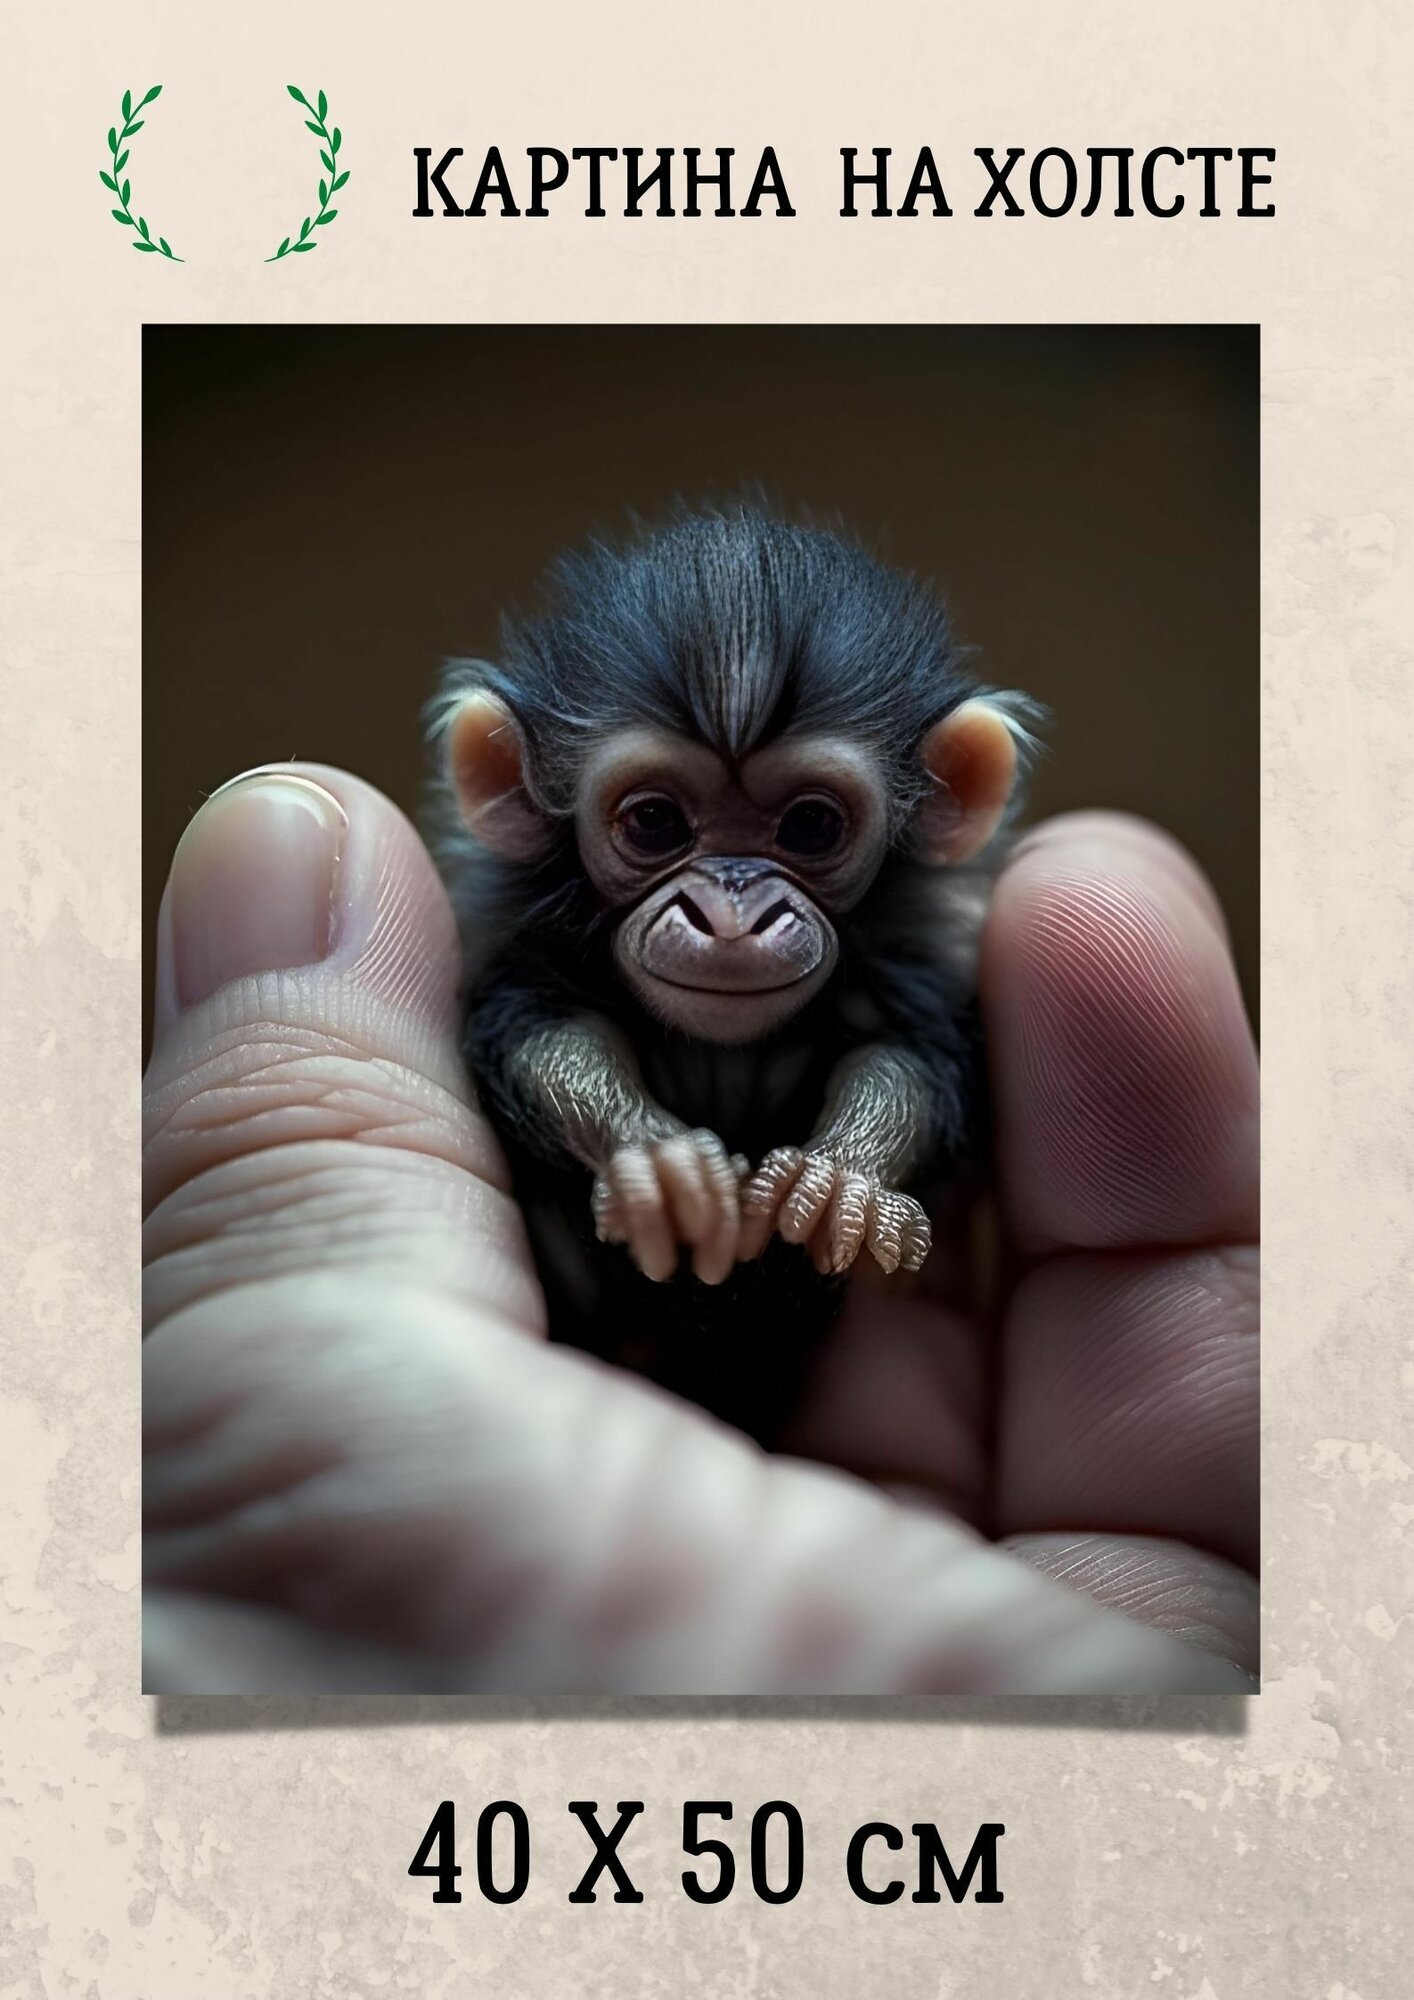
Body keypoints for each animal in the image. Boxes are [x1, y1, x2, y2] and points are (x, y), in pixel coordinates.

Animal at [430, 503, 1040, 1443]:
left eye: (811, 826)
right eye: (654, 821)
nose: (731, 910)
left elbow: (917, 1058)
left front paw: (843, 1182)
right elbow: (537, 1031)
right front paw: (659, 1165)